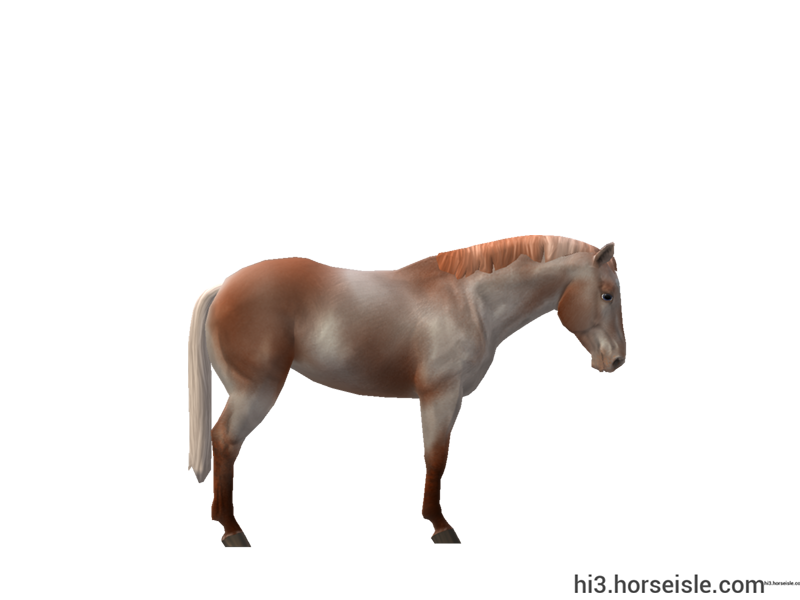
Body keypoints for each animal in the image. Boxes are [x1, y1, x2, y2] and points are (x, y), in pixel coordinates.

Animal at [188, 235, 625, 539]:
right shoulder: (440, 394)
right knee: (225, 441)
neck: (472, 301)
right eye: (607, 294)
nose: (617, 358)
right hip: (252, 391)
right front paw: (438, 523)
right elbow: (437, 456)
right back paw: (230, 529)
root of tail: (223, 288)